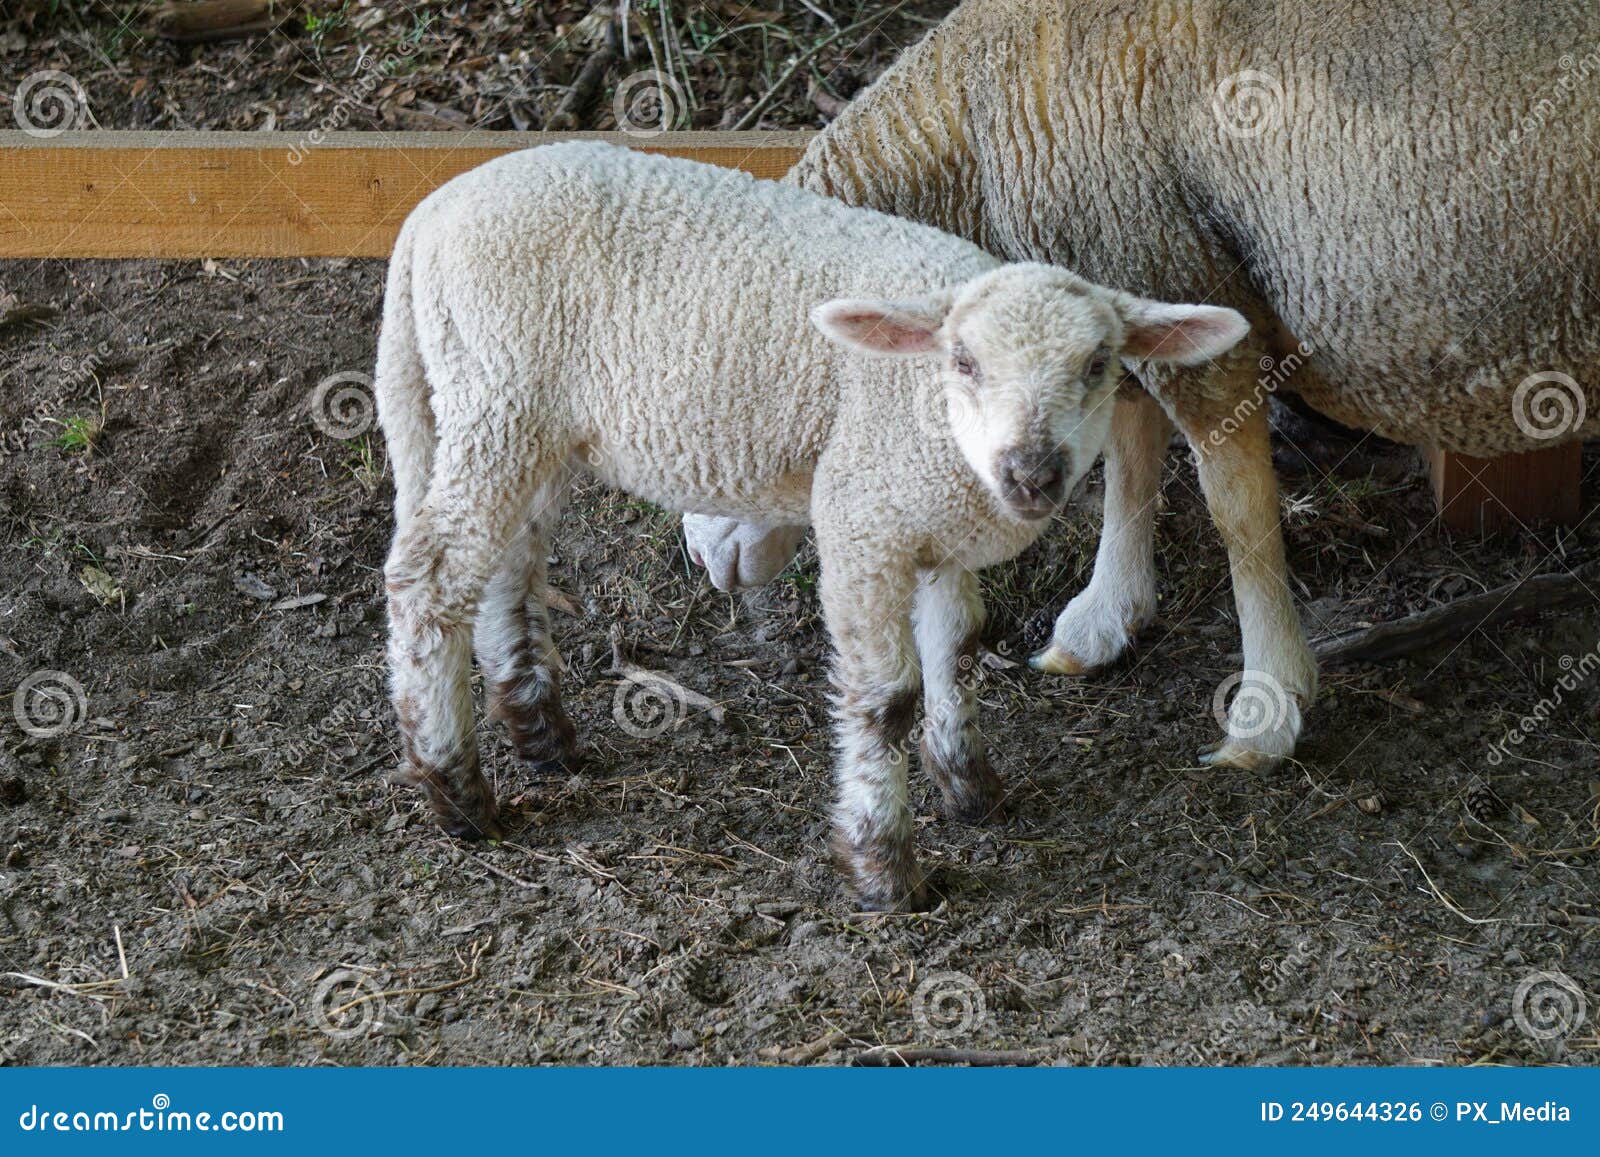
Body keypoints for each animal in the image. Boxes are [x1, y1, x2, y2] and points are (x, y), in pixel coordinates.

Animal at [375, 141, 1249, 910]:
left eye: (1098, 365)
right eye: (963, 361)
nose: (1030, 472)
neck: (928, 411)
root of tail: (427, 216)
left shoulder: (933, 527)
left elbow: (957, 645)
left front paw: (968, 785)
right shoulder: (862, 514)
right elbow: (885, 698)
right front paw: (884, 871)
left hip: (531, 424)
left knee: (505, 566)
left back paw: (540, 735)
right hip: (499, 397)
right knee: (430, 578)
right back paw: (456, 790)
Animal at [684, 0, 1600, 770]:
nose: (702, 557)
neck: (975, 151)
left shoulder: (1188, 291)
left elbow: (1238, 517)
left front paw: (1266, 708)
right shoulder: (1117, 289)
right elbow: (1130, 462)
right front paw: (1104, 619)